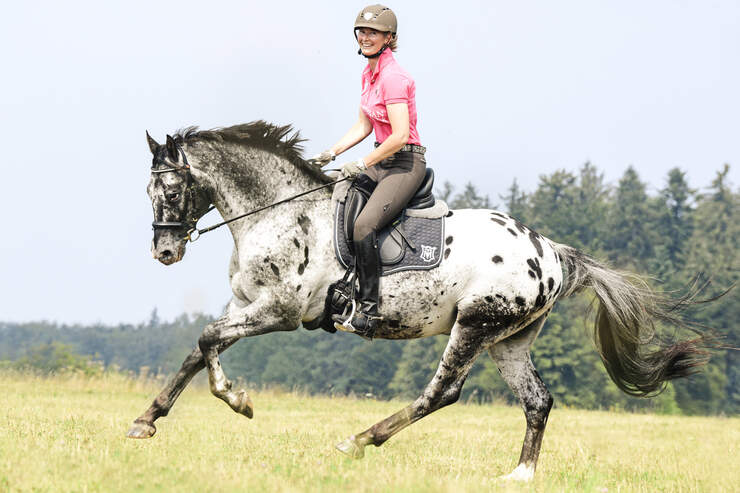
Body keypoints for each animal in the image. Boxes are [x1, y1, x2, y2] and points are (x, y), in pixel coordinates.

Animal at [131, 121, 711, 481]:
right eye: (149, 193)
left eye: (173, 192)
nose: (164, 252)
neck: (278, 212)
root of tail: (551, 252)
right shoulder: (244, 306)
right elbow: (197, 350)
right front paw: (147, 420)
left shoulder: (279, 312)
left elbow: (207, 341)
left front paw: (237, 399)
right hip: (508, 340)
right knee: (537, 401)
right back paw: (520, 474)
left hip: (474, 324)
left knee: (442, 393)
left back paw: (359, 440)